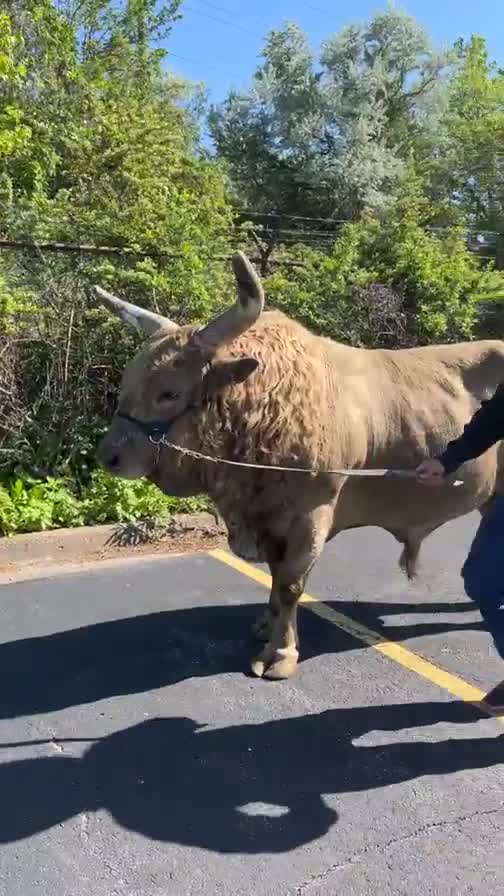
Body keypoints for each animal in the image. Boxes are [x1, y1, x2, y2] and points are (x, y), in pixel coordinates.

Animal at [95, 252, 504, 680]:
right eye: (128, 380)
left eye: (170, 393)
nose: (109, 456)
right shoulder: (269, 522)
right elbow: (275, 580)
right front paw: (265, 624)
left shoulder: (311, 515)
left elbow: (290, 584)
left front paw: (280, 652)